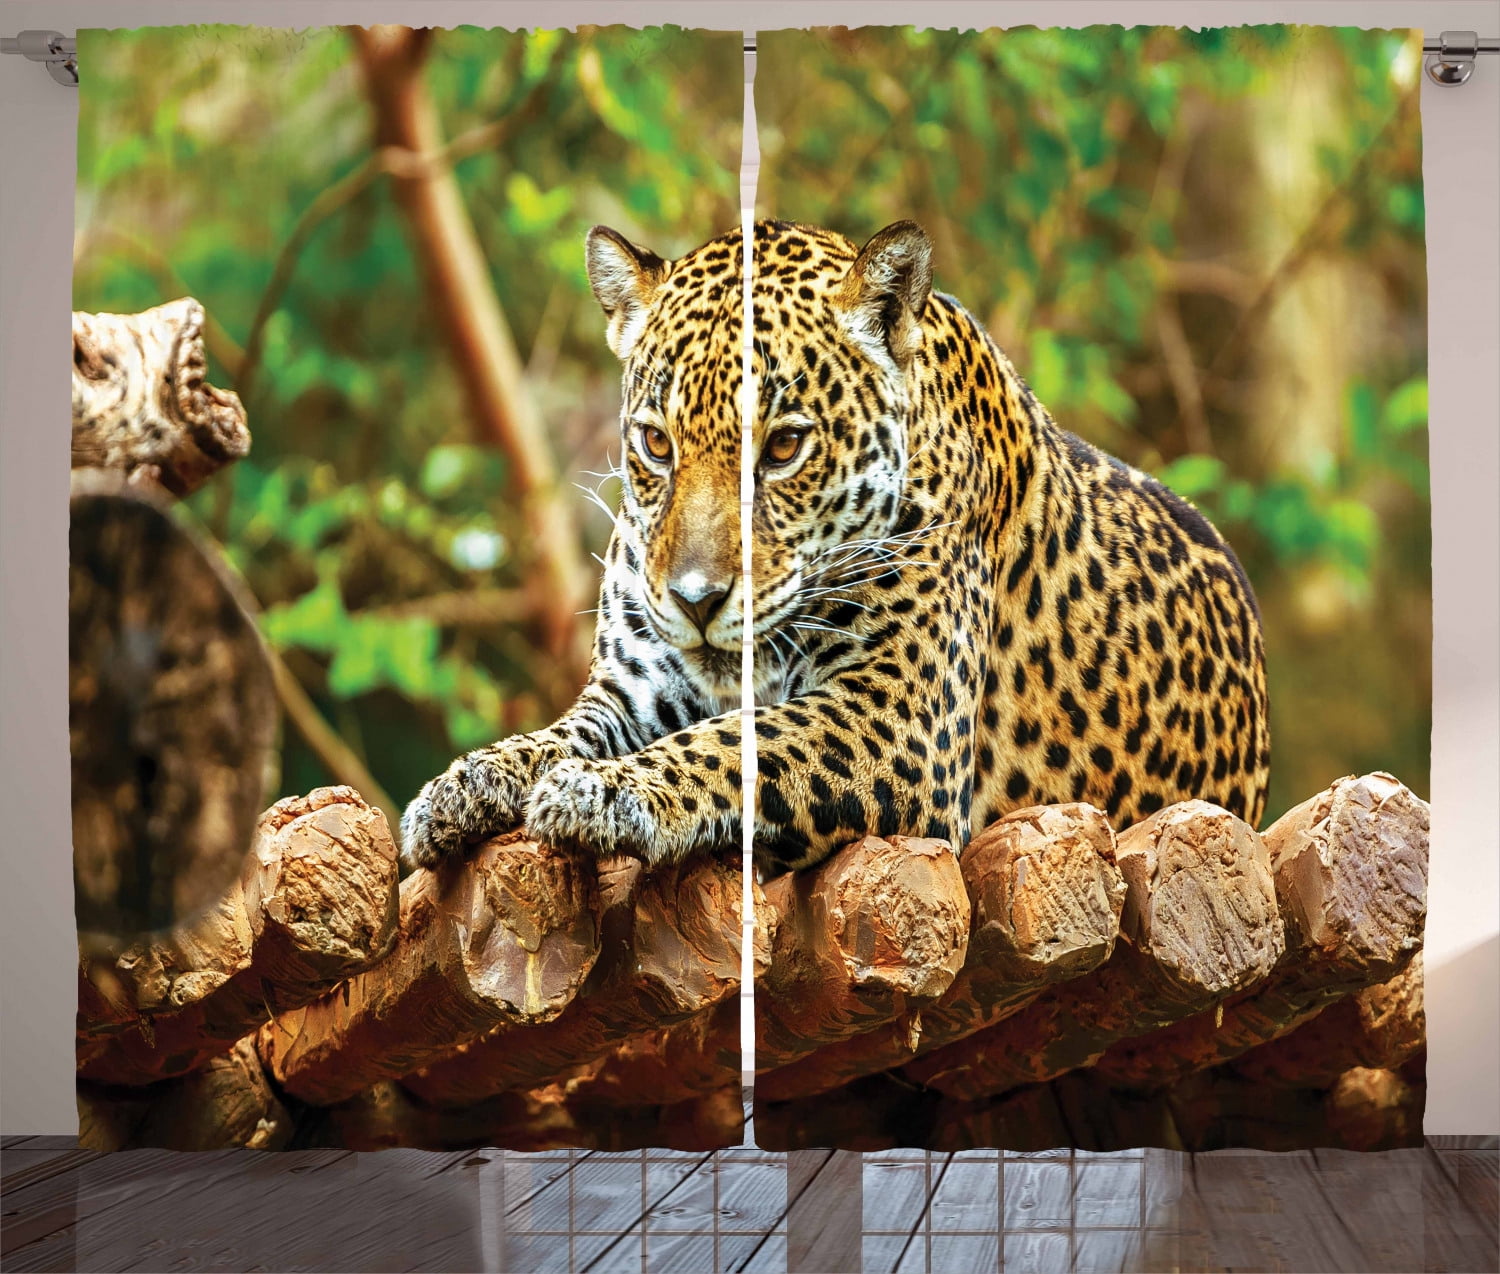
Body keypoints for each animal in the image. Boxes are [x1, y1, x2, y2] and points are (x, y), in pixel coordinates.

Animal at [400, 218, 1270, 877]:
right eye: (655, 443)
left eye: (785, 447)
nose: (695, 600)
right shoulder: (632, 692)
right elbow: (558, 736)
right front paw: (465, 783)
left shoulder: (899, 715)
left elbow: (736, 743)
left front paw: (604, 793)